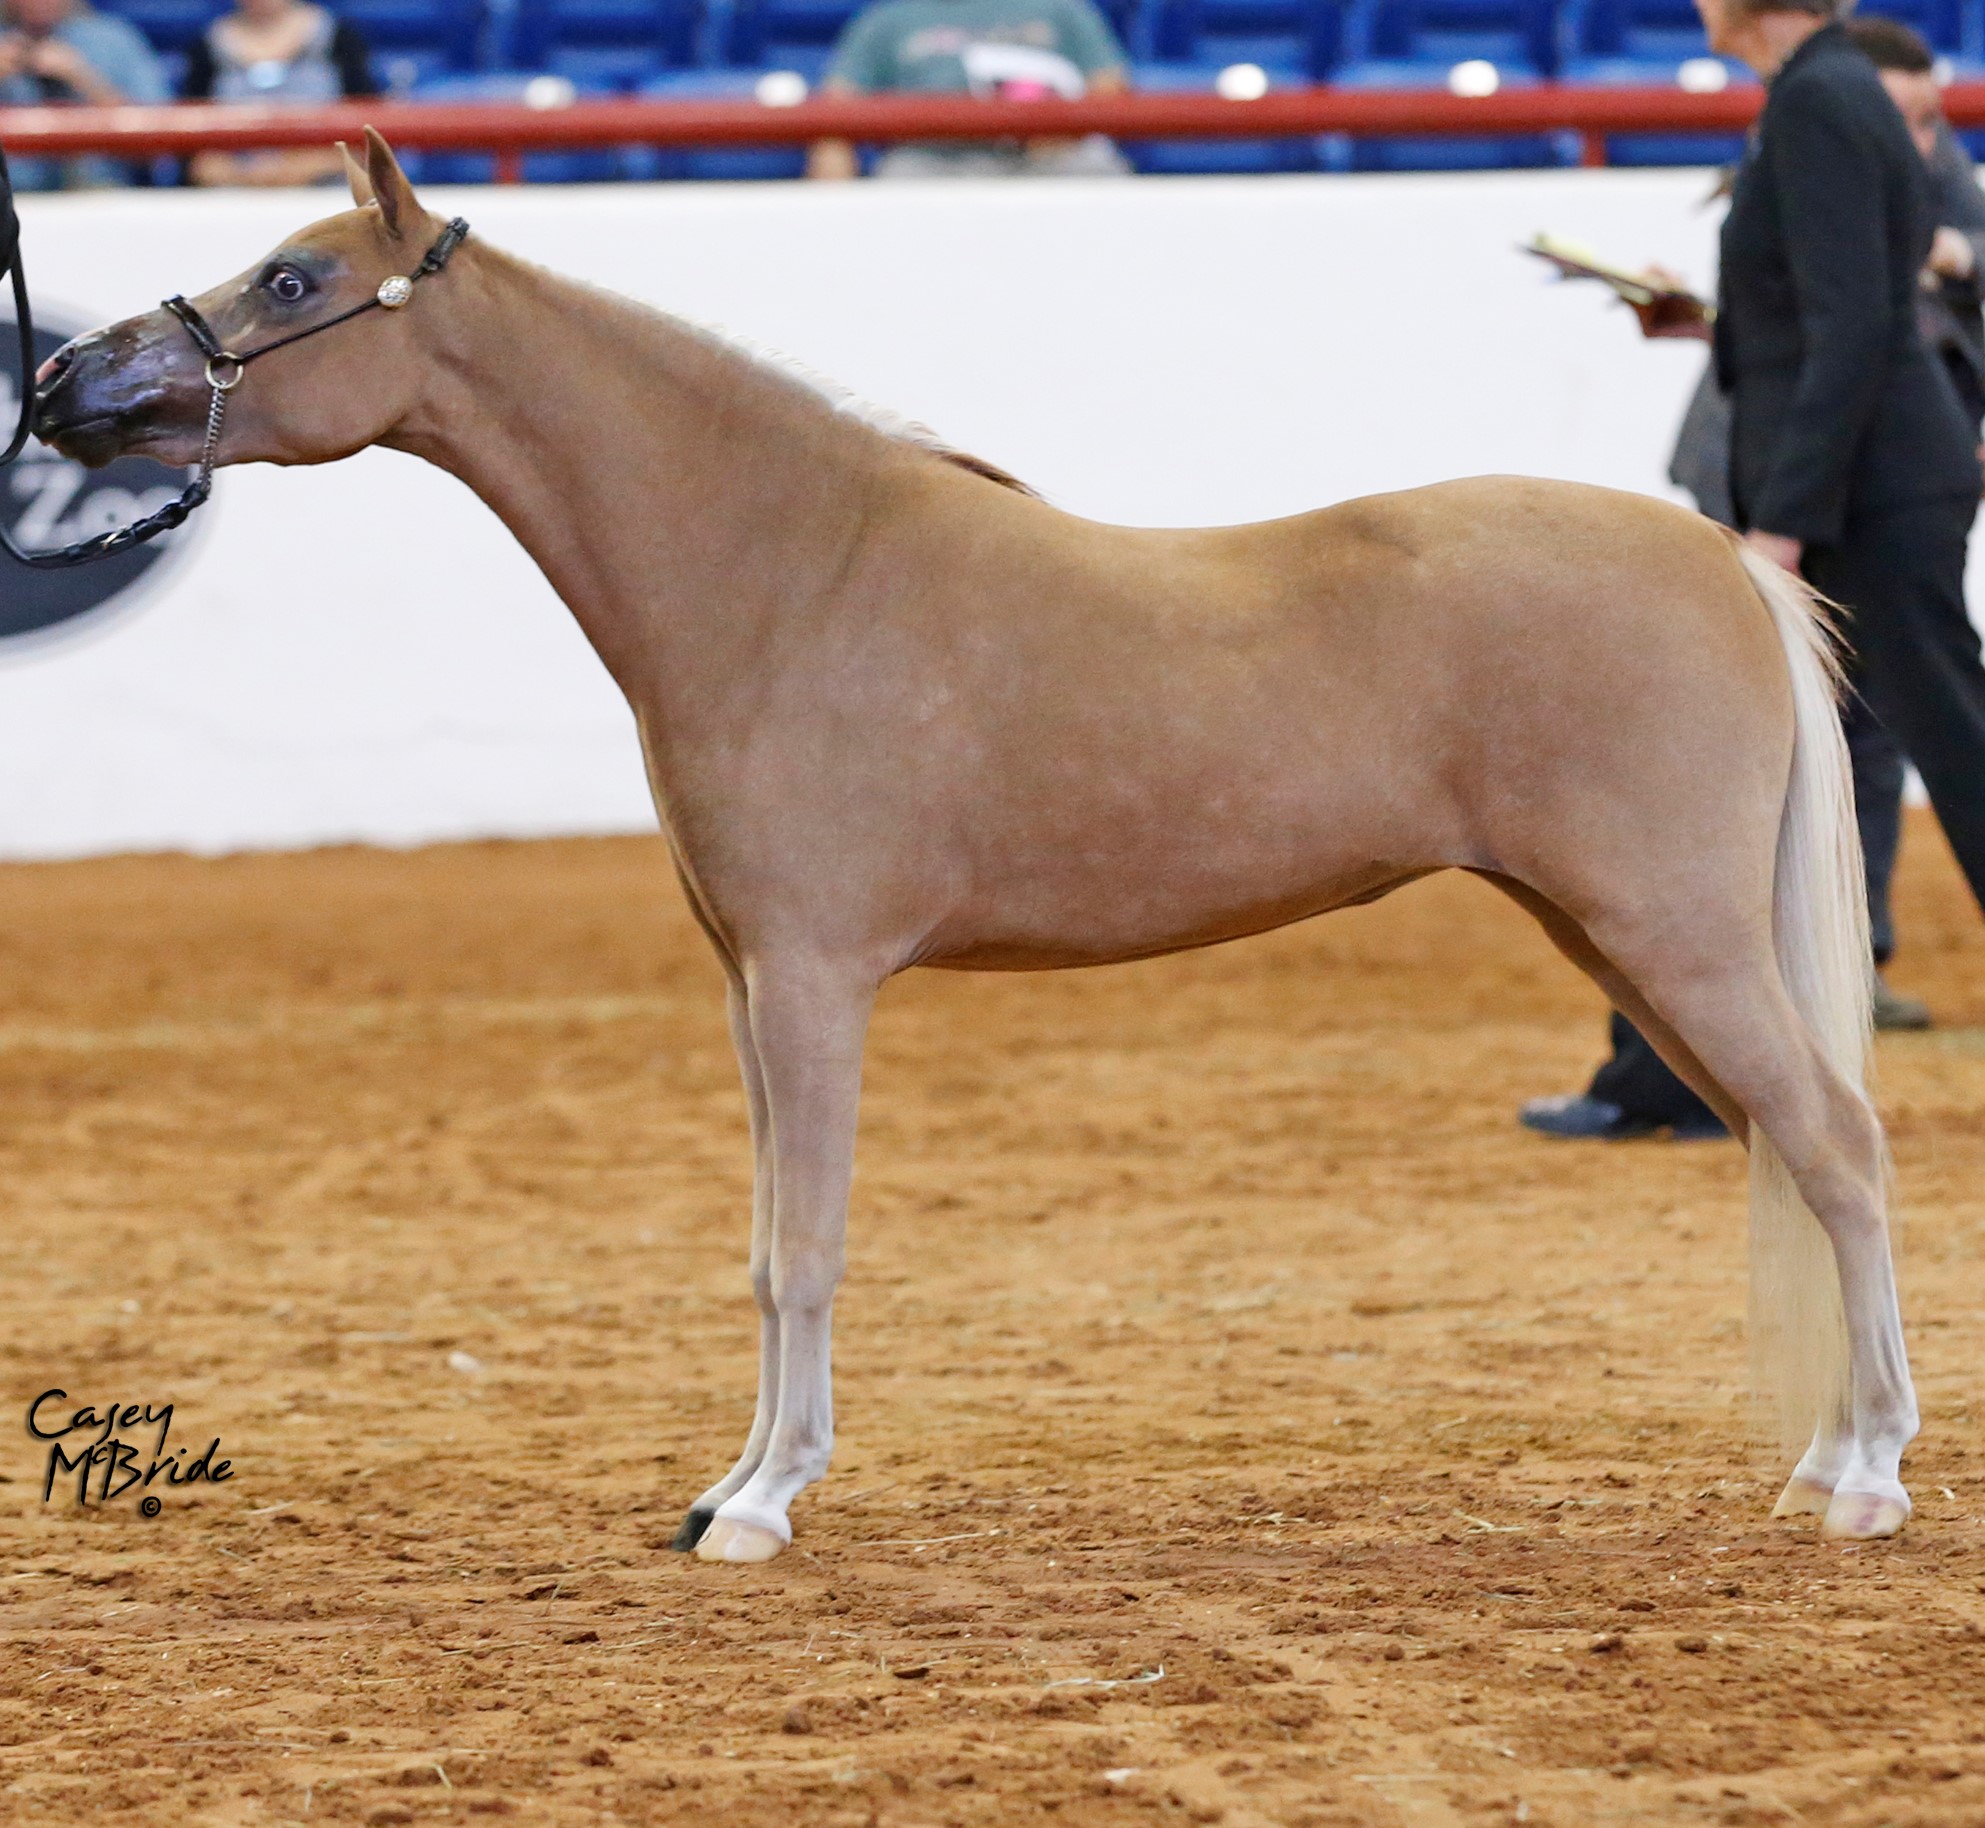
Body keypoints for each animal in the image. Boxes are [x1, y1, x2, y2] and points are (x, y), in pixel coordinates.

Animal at [33, 130, 1916, 1562]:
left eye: (293, 281)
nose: (62, 378)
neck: (790, 568)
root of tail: (1720, 560)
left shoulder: (814, 981)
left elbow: (806, 1247)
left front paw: (762, 1508)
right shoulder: (748, 989)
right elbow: (761, 1246)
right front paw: (730, 1479)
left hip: (1672, 935)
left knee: (1837, 1143)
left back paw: (1866, 1477)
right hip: (1624, 939)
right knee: (1794, 1140)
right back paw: (1827, 1458)